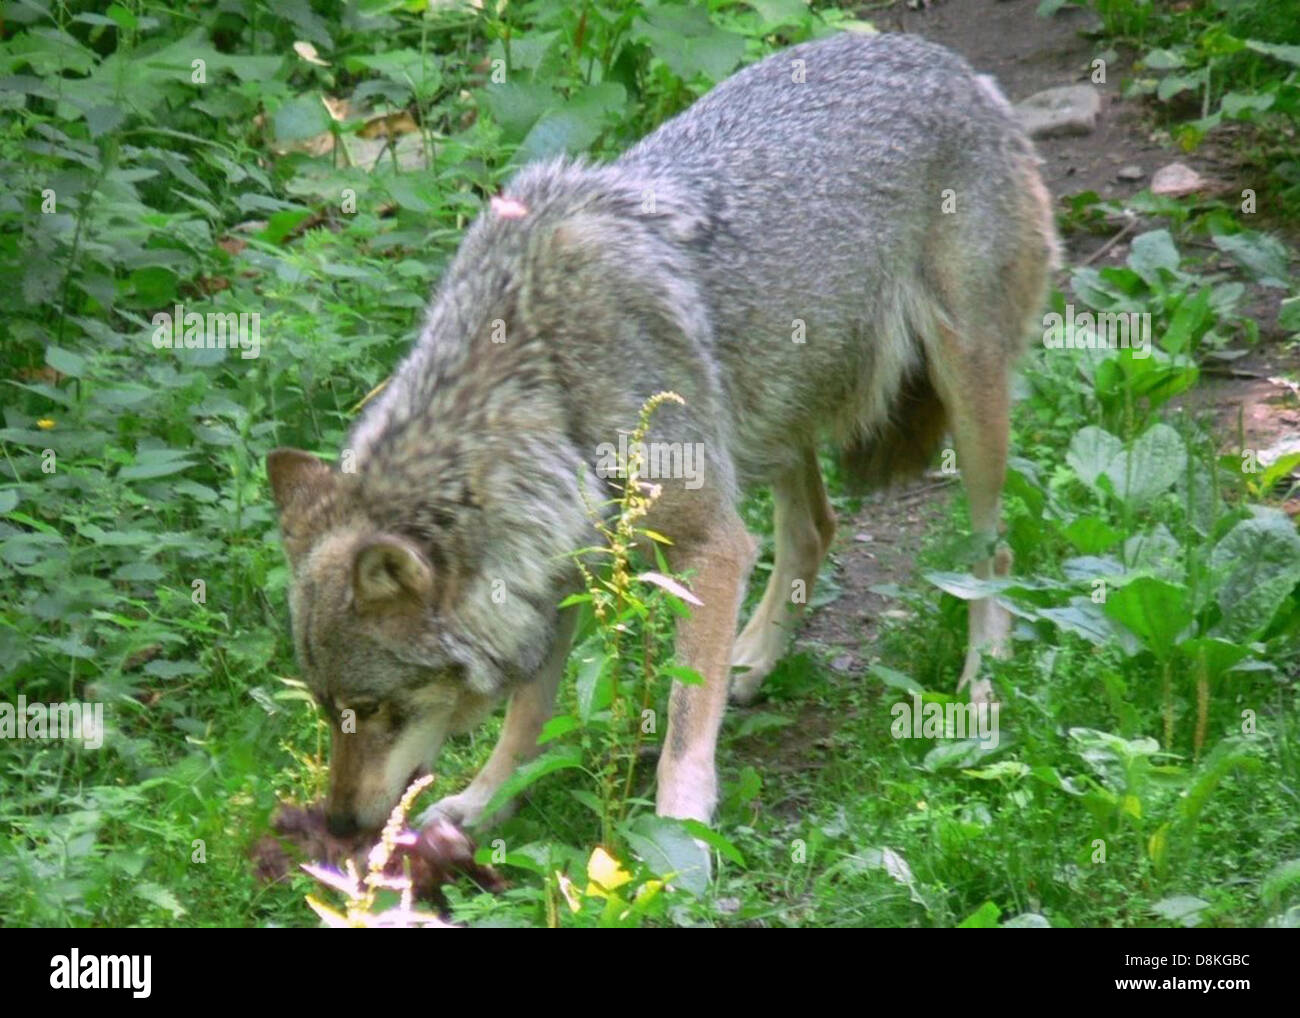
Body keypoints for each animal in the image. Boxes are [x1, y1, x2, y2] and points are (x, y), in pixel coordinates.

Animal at [267, 30, 1059, 836]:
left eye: (372, 708)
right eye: (329, 711)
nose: (337, 824)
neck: (544, 383)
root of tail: (953, 65)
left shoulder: (710, 547)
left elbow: (682, 723)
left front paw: (677, 837)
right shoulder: (558, 570)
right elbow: (528, 715)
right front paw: (485, 803)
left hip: (966, 395)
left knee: (993, 551)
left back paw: (982, 687)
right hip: (764, 414)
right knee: (816, 529)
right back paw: (751, 661)